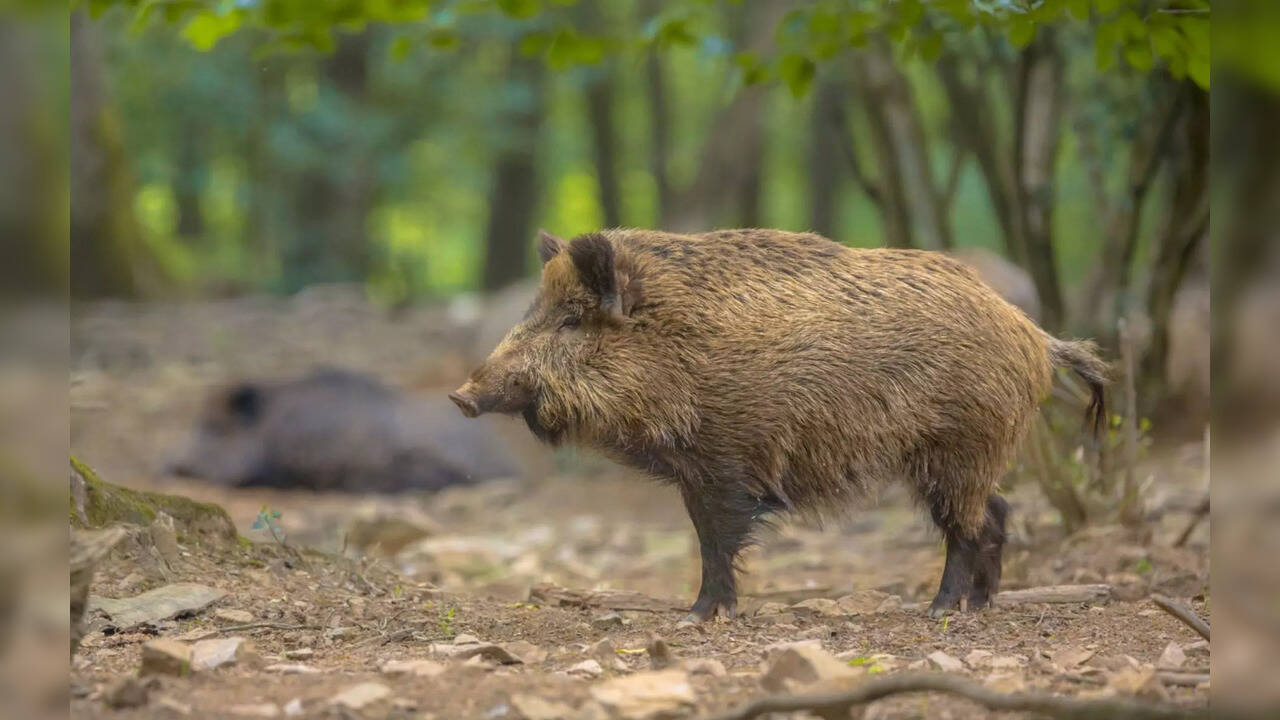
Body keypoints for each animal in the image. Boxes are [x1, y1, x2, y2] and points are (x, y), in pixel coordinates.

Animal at [450, 229, 1106, 621]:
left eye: (570, 320)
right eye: (534, 310)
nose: (461, 396)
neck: (672, 350)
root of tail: (1036, 336)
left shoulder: (724, 463)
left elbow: (717, 542)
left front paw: (699, 616)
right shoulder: (699, 469)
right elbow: (707, 541)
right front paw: (703, 613)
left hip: (958, 447)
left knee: (967, 527)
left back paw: (940, 609)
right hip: (961, 457)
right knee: (995, 512)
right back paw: (980, 605)